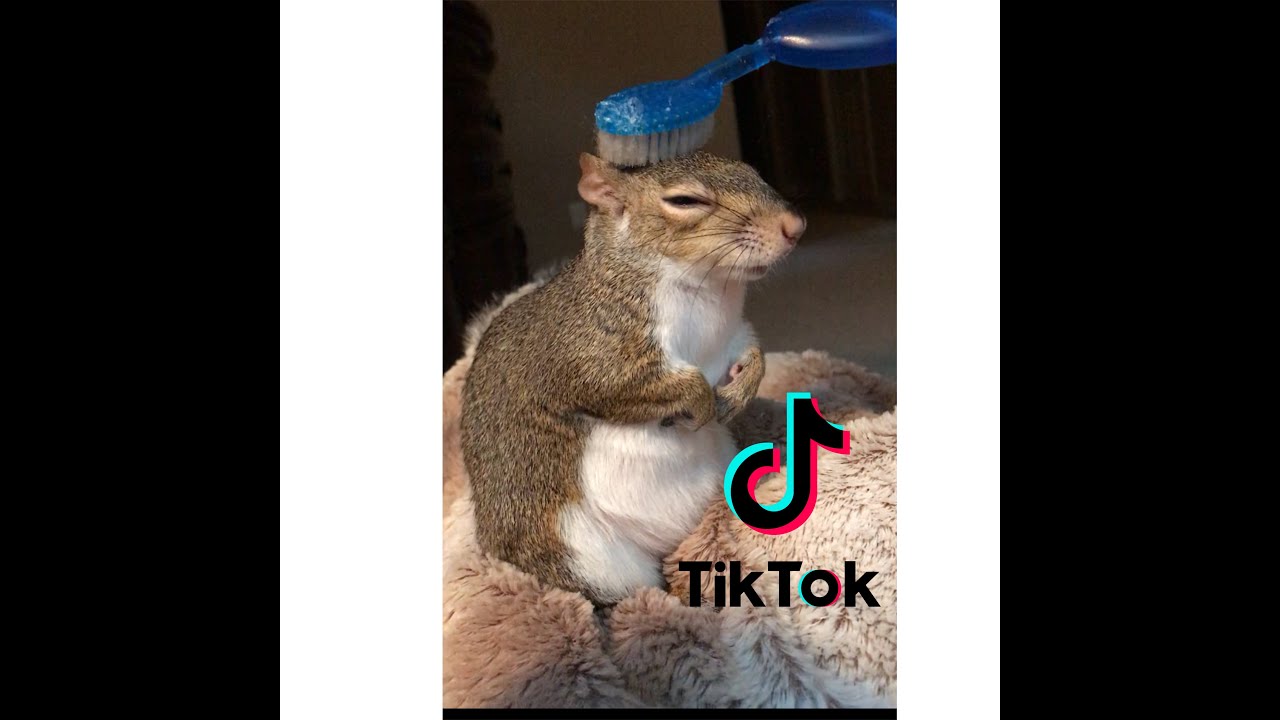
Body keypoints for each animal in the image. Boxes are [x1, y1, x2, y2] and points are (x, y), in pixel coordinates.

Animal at [460, 151, 806, 605]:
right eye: (685, 200)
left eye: (752, 172)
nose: (794, 227)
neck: (708, 291)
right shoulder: (587, 351)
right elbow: (625, 387)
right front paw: (699, 406)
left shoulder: (731, 337)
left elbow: (754, 355)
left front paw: (737, 394)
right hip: (588, 559)